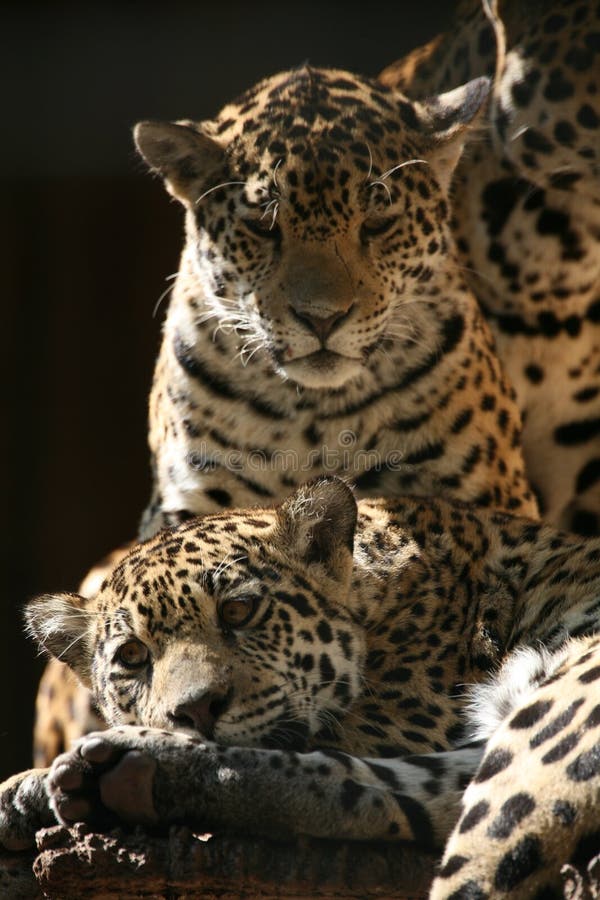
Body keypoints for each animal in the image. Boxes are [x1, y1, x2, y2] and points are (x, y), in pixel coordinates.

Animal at [3, 476, 600, 898]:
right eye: (132, 656)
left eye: (239, 610)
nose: (196, 710)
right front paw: (25, 789)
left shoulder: (405, 722)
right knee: (371, 791)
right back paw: (120, 773)